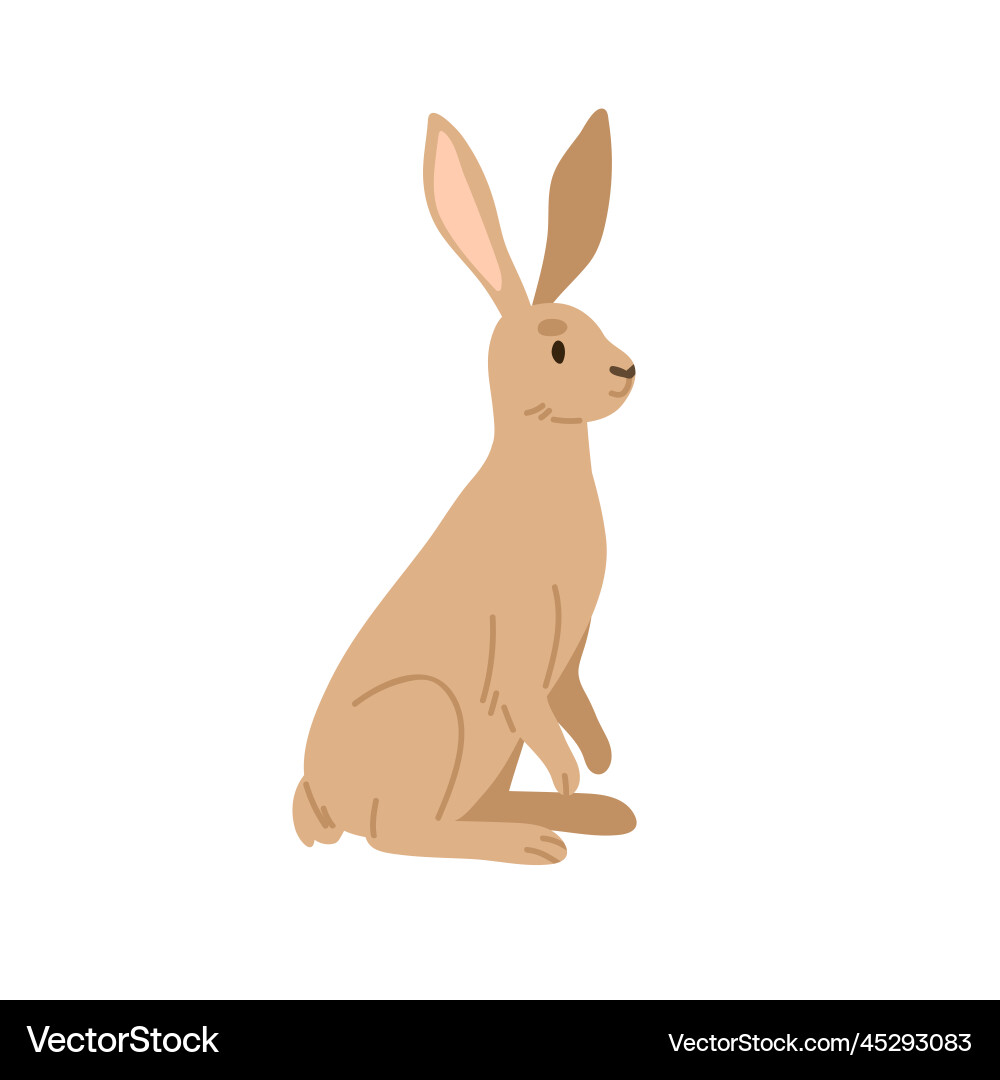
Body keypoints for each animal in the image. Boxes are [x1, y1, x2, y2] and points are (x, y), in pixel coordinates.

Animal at [293, 110, 637, 863]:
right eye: (557, 348)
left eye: (597, 325)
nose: (627, 370)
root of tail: (320, 799)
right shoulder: (519, 648)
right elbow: (534, 704)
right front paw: (573, 772)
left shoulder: (569, 657)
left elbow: (572, 701)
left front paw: (597, 764)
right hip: (432, 716)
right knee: (400, 835)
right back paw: (532, 841)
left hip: (486, 754)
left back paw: (589, 813)